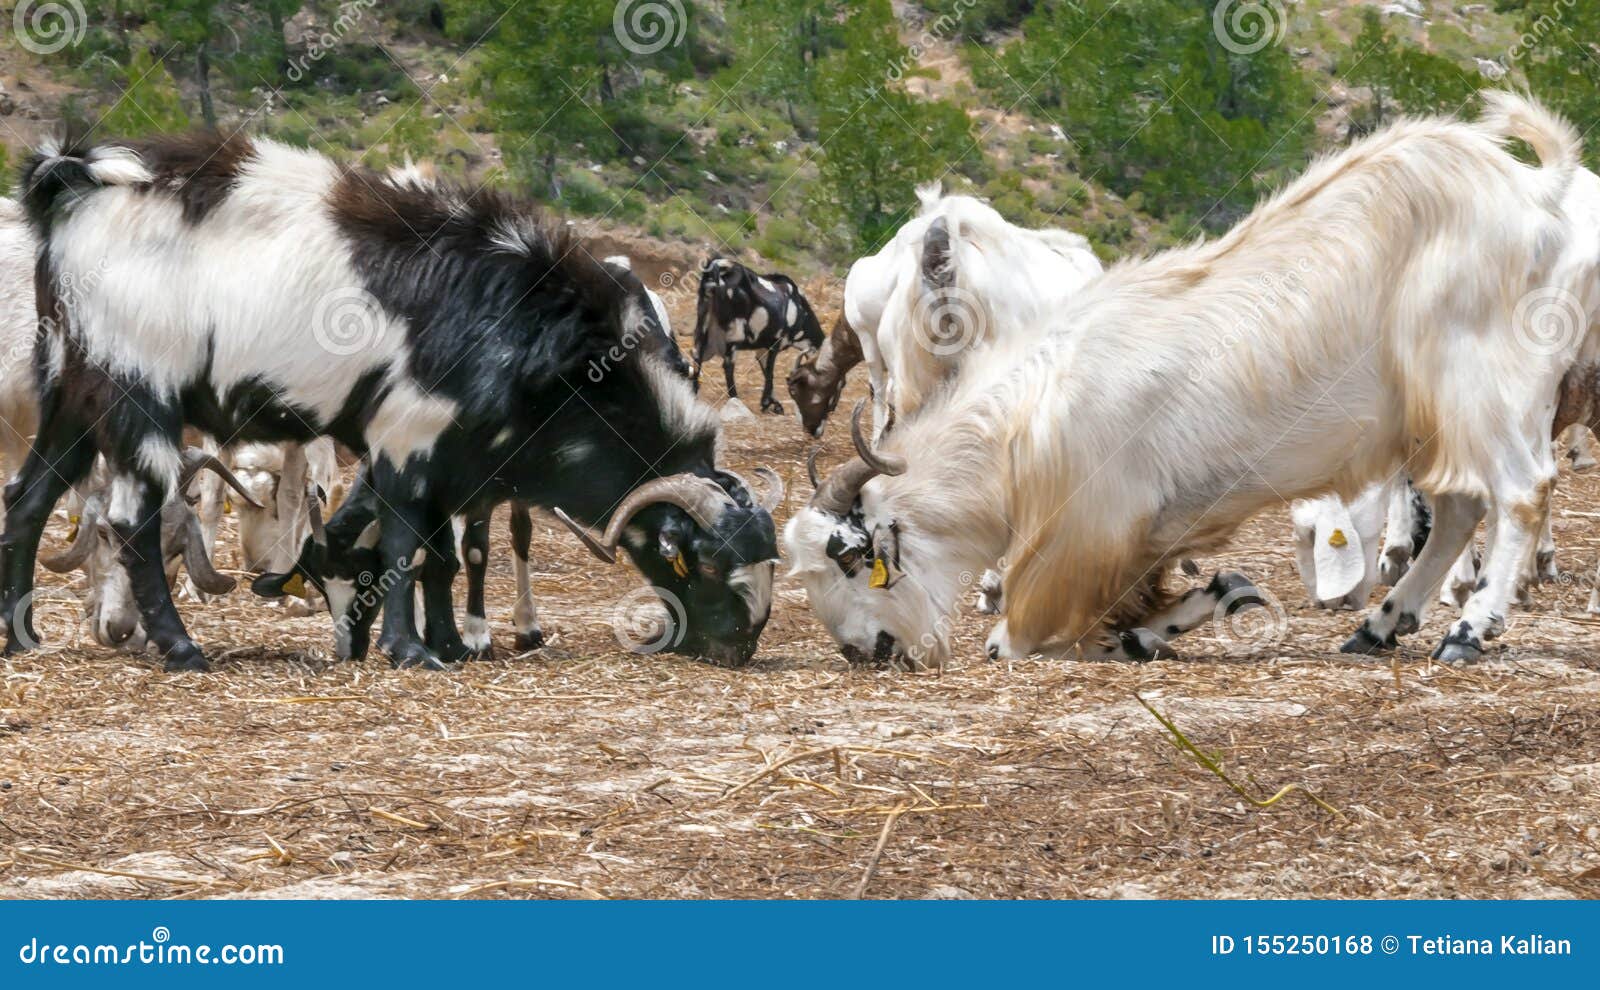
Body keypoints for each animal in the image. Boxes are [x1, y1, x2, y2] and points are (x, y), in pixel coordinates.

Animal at [7, 131, 781, 672]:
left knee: (28, 498)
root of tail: (77, 190)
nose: (737, 646)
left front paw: (451, 643)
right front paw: (411, 650)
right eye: (702, 560)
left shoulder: (455, 461)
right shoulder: (409, 434)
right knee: (131, 521)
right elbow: (409, 545)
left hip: (71, 389)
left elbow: (441, 554)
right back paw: (180, 648)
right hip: (136, 393)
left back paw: (21, 637)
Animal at [785, 95, 1595, 668]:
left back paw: (1469, 629)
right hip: (1432, 416)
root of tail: (1538, 191)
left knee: (1521, 490)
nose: (866, 651)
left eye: (852, 557)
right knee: (1460, 505)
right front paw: (1206, 601)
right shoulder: (1150, 537)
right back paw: (1382, 624)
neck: (1030, 416)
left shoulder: (1084, 536)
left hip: (1486, 388)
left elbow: (1017, 636)